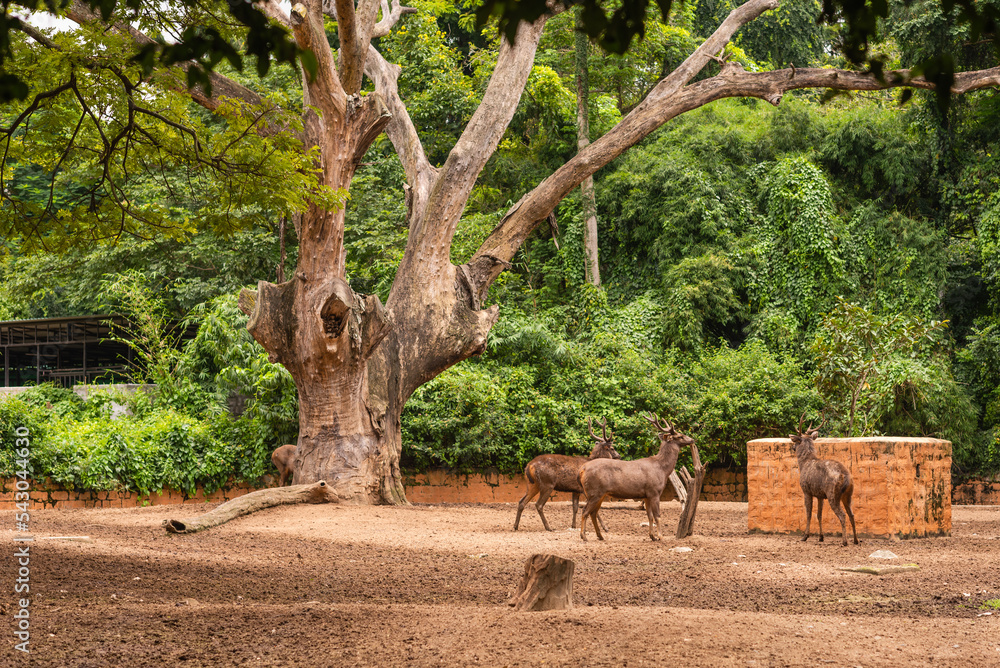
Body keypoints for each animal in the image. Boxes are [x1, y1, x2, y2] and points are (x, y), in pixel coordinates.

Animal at [578, 413, 694, 541]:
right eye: (680, 436)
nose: (692, 439)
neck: (663, 470)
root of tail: (582, 469)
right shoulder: (654, 491)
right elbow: (657, 516)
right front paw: (661, 537)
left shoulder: (646, 495)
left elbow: (650, 516)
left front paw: (652, 536)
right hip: (594, 492)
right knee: (584, 511)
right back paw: (584, 536)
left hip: (600, 494)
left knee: (593, 513)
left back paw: (600, 536)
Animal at [790, 414, 858, 546]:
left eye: (797, 441)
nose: (792, 447)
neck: (803, 464)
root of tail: (846, 477)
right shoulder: (820, 495)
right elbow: (819, 515)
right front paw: (821, 537)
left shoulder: (806, 490)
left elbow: (808, 514)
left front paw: (805, 536)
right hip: (848, 494)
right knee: (852, 514)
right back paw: (856, 540)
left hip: (832, 493)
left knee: (842, 515)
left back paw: (845, 541)